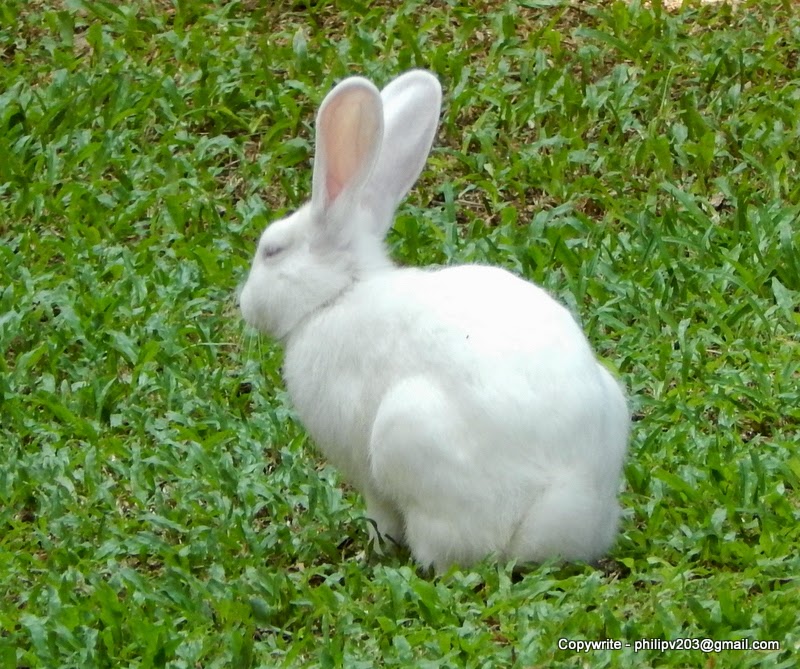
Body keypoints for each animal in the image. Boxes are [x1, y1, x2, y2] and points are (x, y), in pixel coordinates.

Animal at [239, 69, 630, 572]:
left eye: (272, 250)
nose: (245, 304)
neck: (337, 295)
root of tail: (566, 511)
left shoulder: (365, 471)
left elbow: (379, 516)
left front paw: (372, 550)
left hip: (407, 433)